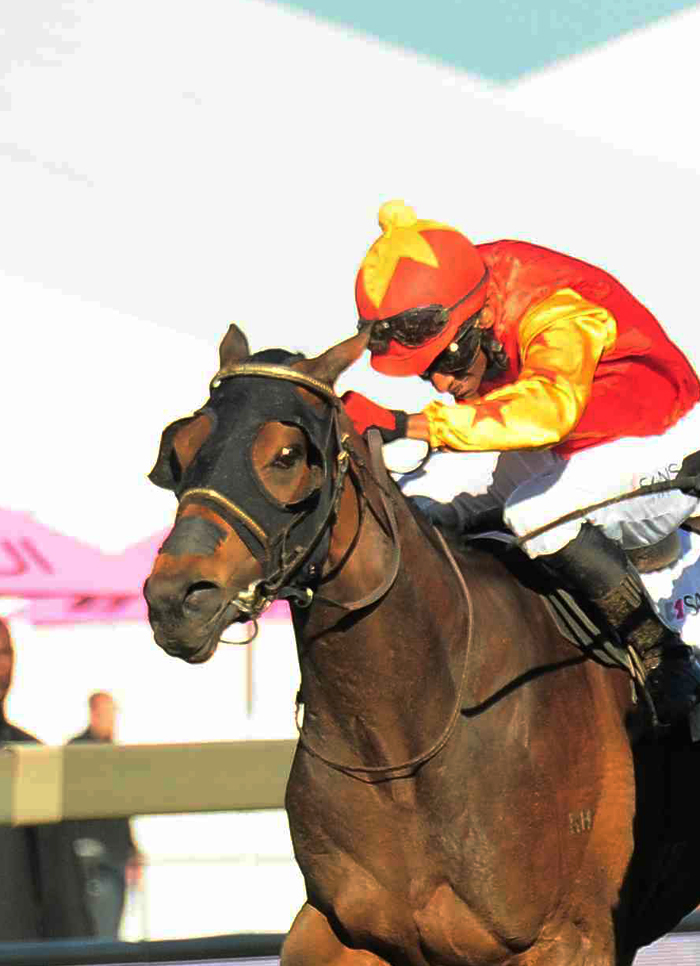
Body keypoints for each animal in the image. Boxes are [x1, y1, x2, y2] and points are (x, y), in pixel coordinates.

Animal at [144, 323, 700, 965]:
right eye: (178, 450)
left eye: (286, 455)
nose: (175, 598)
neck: (405, 749)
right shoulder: (337, 927)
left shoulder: (571, 936)